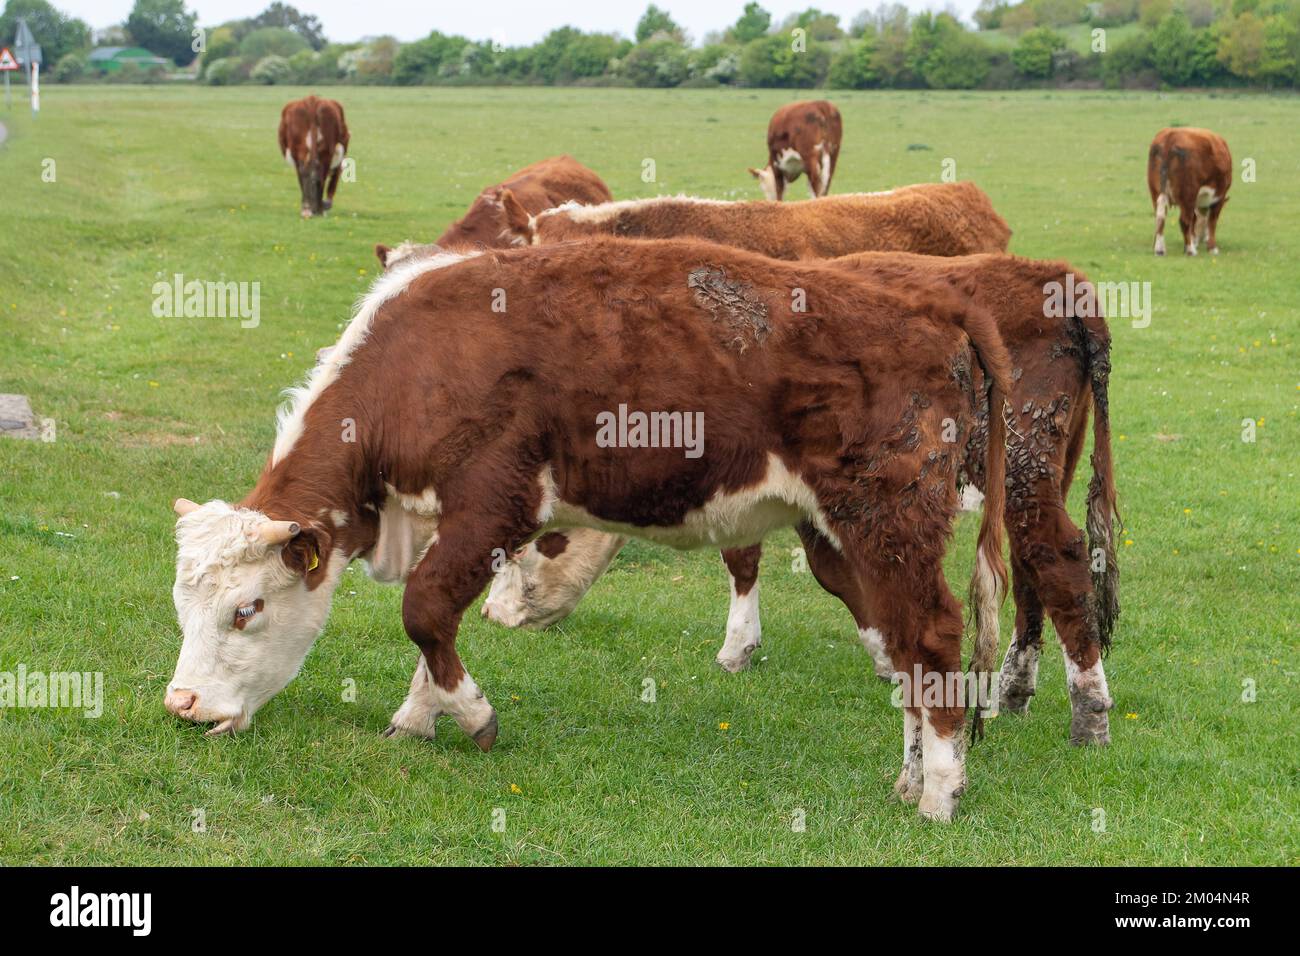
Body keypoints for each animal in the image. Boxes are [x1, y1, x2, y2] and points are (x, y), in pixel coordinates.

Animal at [164, 236, 1014, 821]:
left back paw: (941, 791)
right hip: (843, 539)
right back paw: (912, 776)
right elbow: (432, 622)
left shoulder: (494, 504)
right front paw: (418, 714)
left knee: (931, 633)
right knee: (898, 645)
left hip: (889, 521)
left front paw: (470, 715)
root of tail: (931, 302)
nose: (183, 705)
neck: (418, 365)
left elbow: (426, 610)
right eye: (183, 609)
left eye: (247, 609)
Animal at [482, 252, 1119, 747]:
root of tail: (1058, 280)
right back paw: (1014, 688)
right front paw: (890, 655)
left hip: (1022, 467)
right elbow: (840, 572)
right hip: (1037, 474)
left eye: (529, 540)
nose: (490, 613)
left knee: (1059, 558)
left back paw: (1089, 711)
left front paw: (740, 647)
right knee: (1030, 566)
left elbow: (779, 564)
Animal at [1147, 127, 1231, 256]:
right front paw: (1212, 248)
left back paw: (1160, 249)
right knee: (1184, 220)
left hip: (1156, 191)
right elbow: (1211, 222)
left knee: (1160, 217)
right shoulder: (1218, 198)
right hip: (1188, 193)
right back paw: (1190, 250)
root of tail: (1171, 135)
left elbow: (1195, 219)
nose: (1202, 240)